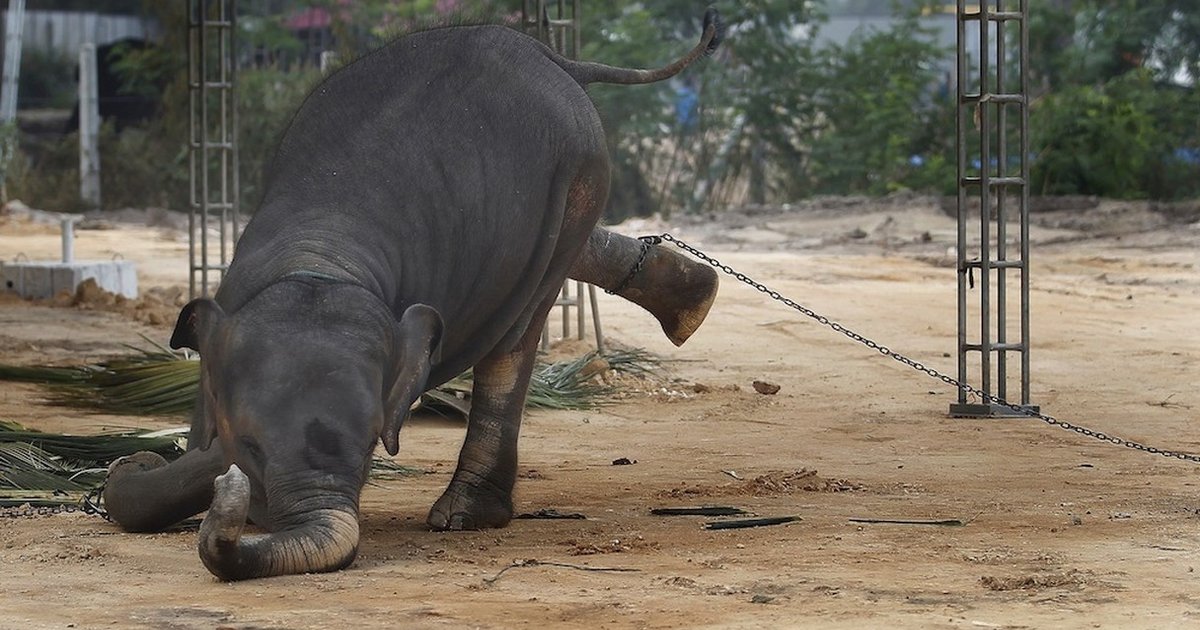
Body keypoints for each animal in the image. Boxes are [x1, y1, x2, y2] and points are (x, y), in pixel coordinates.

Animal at [102, 9, 723, 581]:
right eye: (249, 445)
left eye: (370, 447)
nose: (238, 499)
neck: (321, 262)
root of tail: (556, 58)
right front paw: (138, 467)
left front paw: (141, 469)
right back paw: (696, 301)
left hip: (577, 182)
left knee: (515, 340)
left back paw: (462, 517)